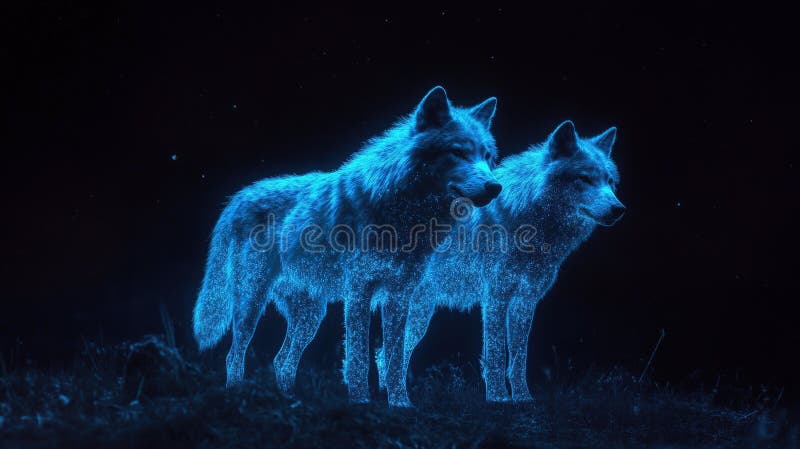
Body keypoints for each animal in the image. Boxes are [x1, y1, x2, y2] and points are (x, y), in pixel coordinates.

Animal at [192, 86, 502, 403]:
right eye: (458, 152)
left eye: (487, 155)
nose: (495, 187)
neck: (403, 214)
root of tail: (240, 195)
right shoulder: (358, 291)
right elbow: (359, 357)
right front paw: (361, 400)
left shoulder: (400, 296)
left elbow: (394, 359)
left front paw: (400, 403)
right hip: (251, 303)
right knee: (235, 354)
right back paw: (237, 394)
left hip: (311, 316)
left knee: (282, 360)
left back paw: (290, 399)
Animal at [377, 120, 624, 406]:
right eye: (585, 178)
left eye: (610, 182)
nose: (619, 209)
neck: (528, 227)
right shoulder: (496, 297)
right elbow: (495, 356)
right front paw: (497, 397)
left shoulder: (525, 302)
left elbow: (518, 360)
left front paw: (523, 398)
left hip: (419, 315)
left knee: (387, 353)